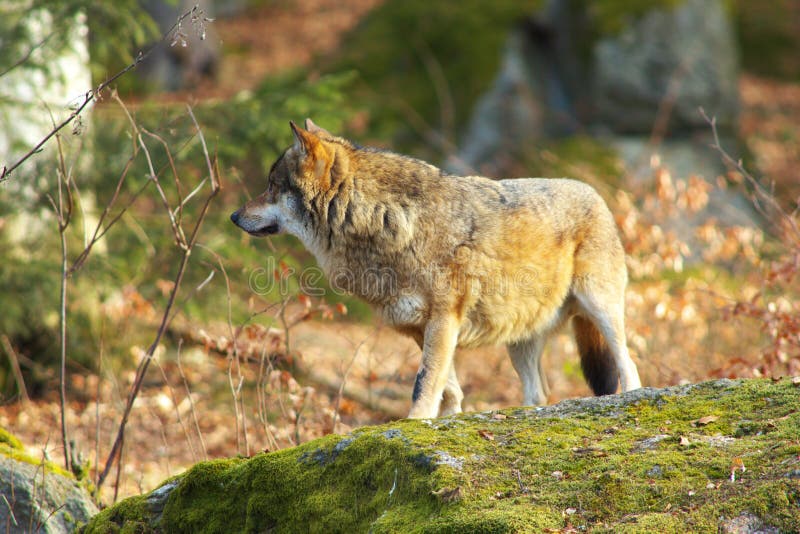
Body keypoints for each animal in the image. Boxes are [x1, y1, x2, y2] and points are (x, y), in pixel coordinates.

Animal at [231, 120, 642, 419]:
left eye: (272, 187)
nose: (234, 216)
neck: (387, 222)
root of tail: (595, 193)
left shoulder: (445, 318)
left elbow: (425, 382)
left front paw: (414, 422)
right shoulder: (419, 326)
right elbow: (449, 389)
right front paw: (445, 421)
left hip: (599, 308)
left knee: (629, 366)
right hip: (519, 343)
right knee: (539, 392)